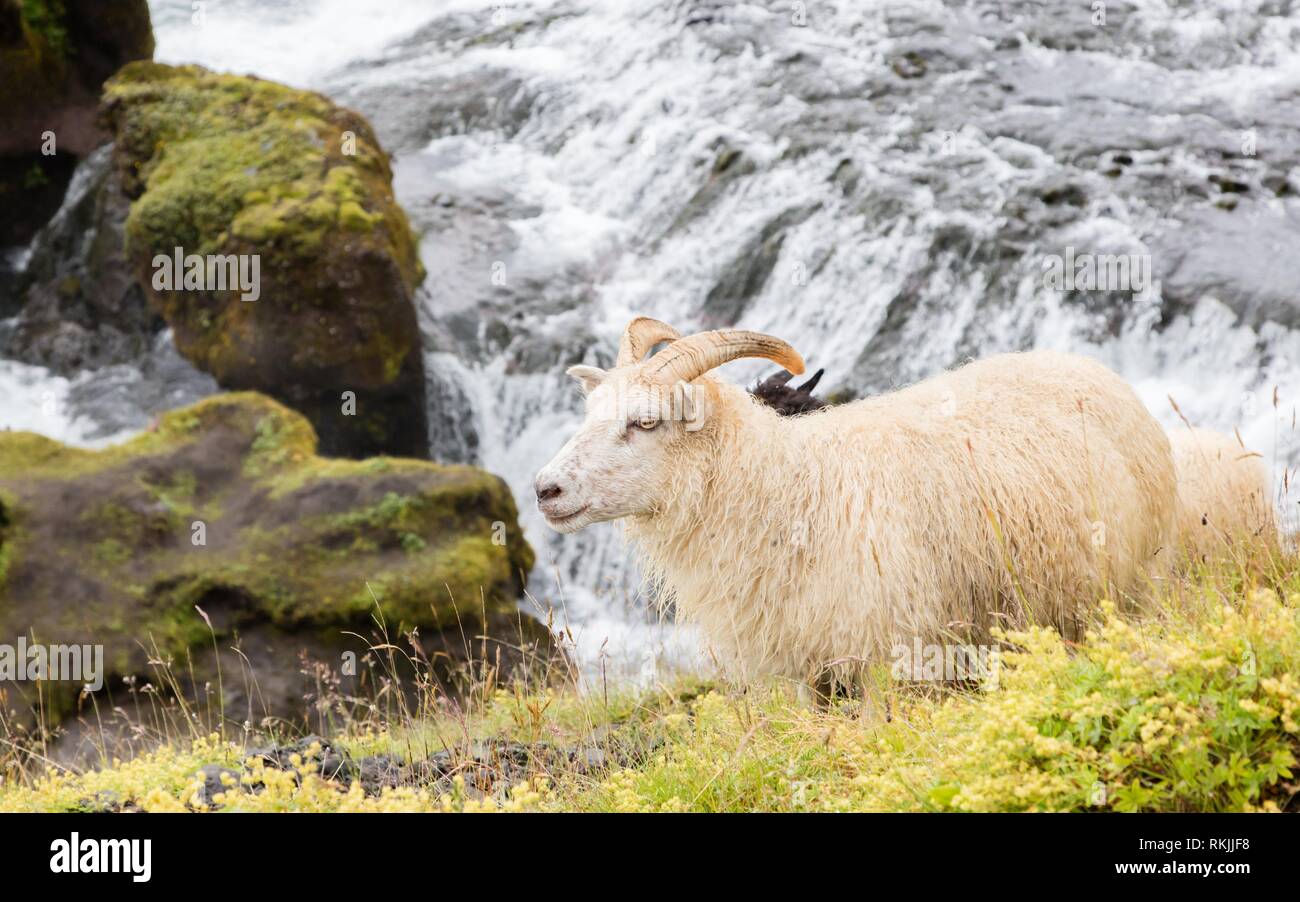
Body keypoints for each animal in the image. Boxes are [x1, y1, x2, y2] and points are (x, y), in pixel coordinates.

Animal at [536, 318, 1178, 688]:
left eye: (645, 422)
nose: (545, 489)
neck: (784, 485)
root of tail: (1085, 365)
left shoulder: (881, 654)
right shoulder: (795, 670)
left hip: (1130, 590)